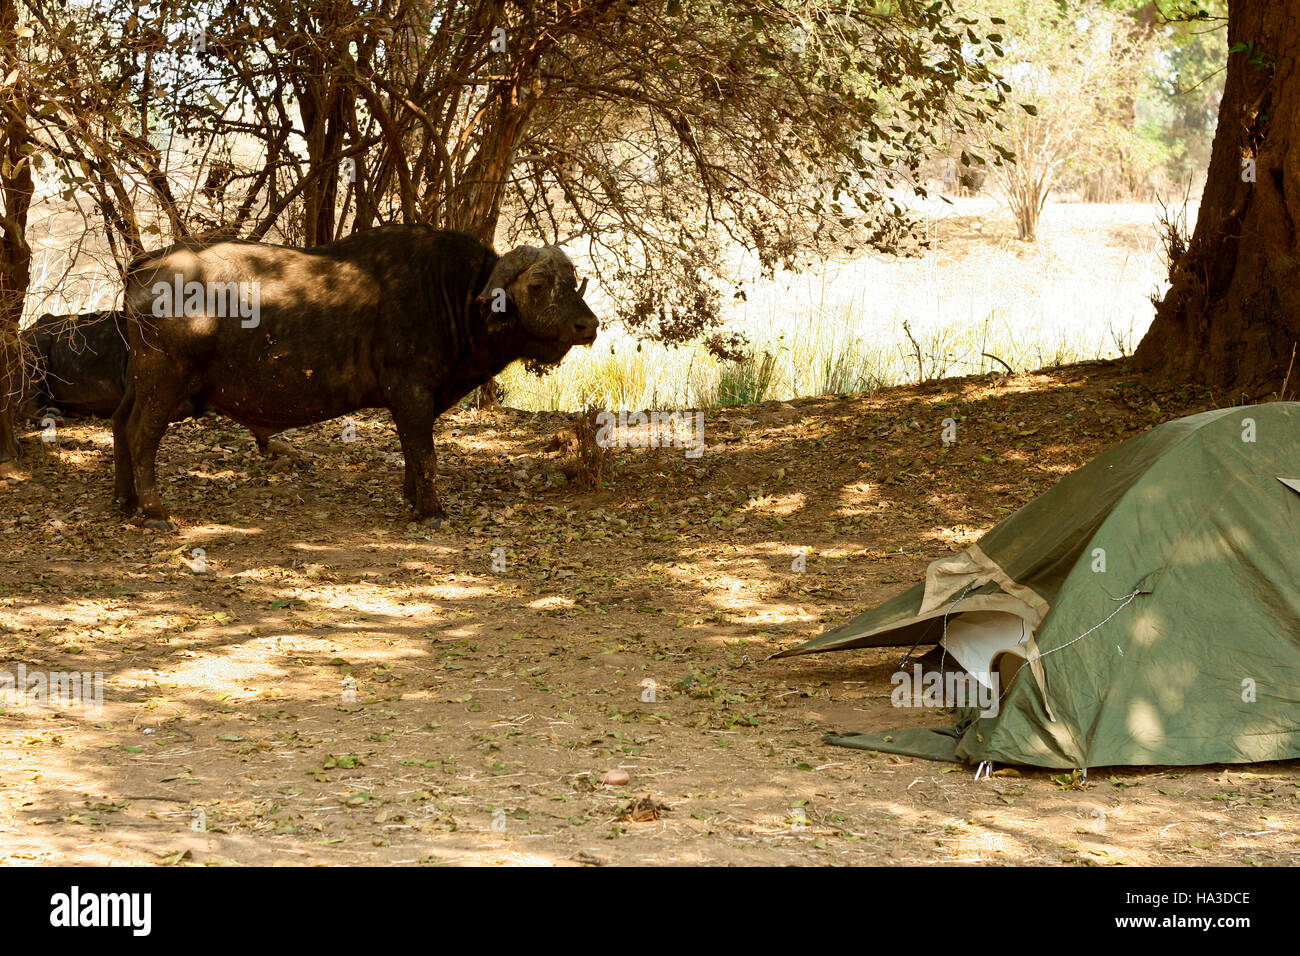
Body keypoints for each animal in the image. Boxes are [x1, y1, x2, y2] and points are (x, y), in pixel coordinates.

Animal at [113, 225, 598, 529]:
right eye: (538, 284)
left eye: (572, 279)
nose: (587, 326)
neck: (450, 293)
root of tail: (145, 265)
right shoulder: (410, 392)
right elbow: (426, 455)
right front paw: (434, 511)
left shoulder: (418, 402)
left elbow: (412, 453)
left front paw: (414, 501)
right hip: (164, 381)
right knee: (141, 435)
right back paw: (154, 511)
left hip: (139, 382)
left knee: (120, 425)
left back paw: (124, 501)